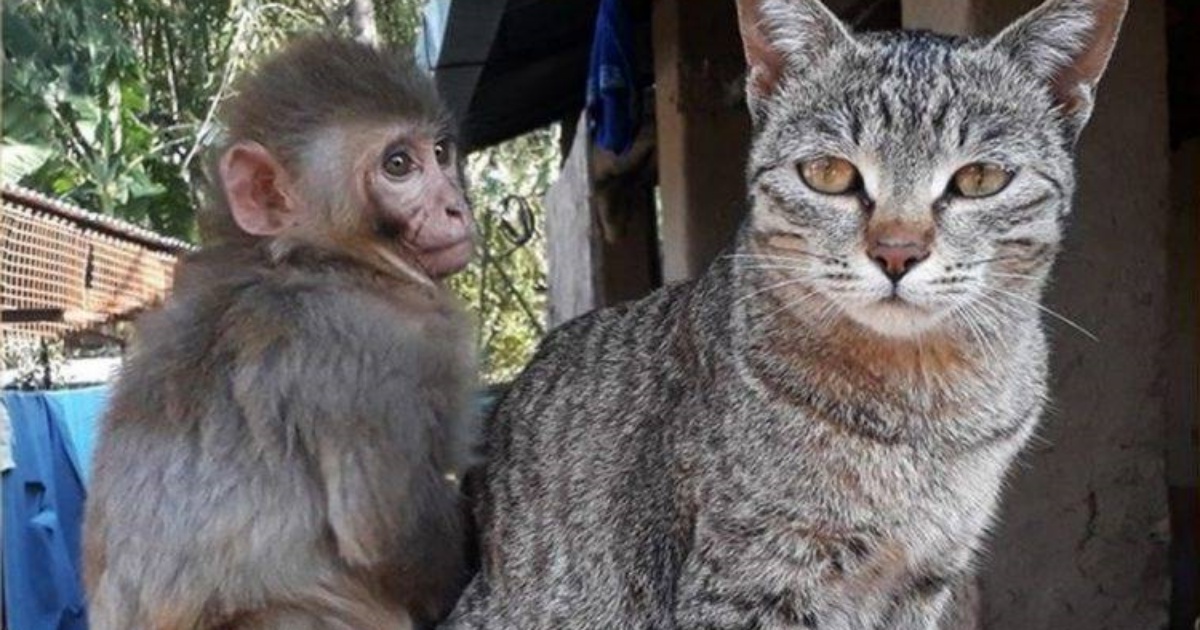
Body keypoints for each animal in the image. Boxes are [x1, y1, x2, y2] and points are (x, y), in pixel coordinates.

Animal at [83, 36, 477, 630]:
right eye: (399, 165)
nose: (455, 206)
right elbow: (386, 532)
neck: (304, 258)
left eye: (441, 153)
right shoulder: (373, 340)